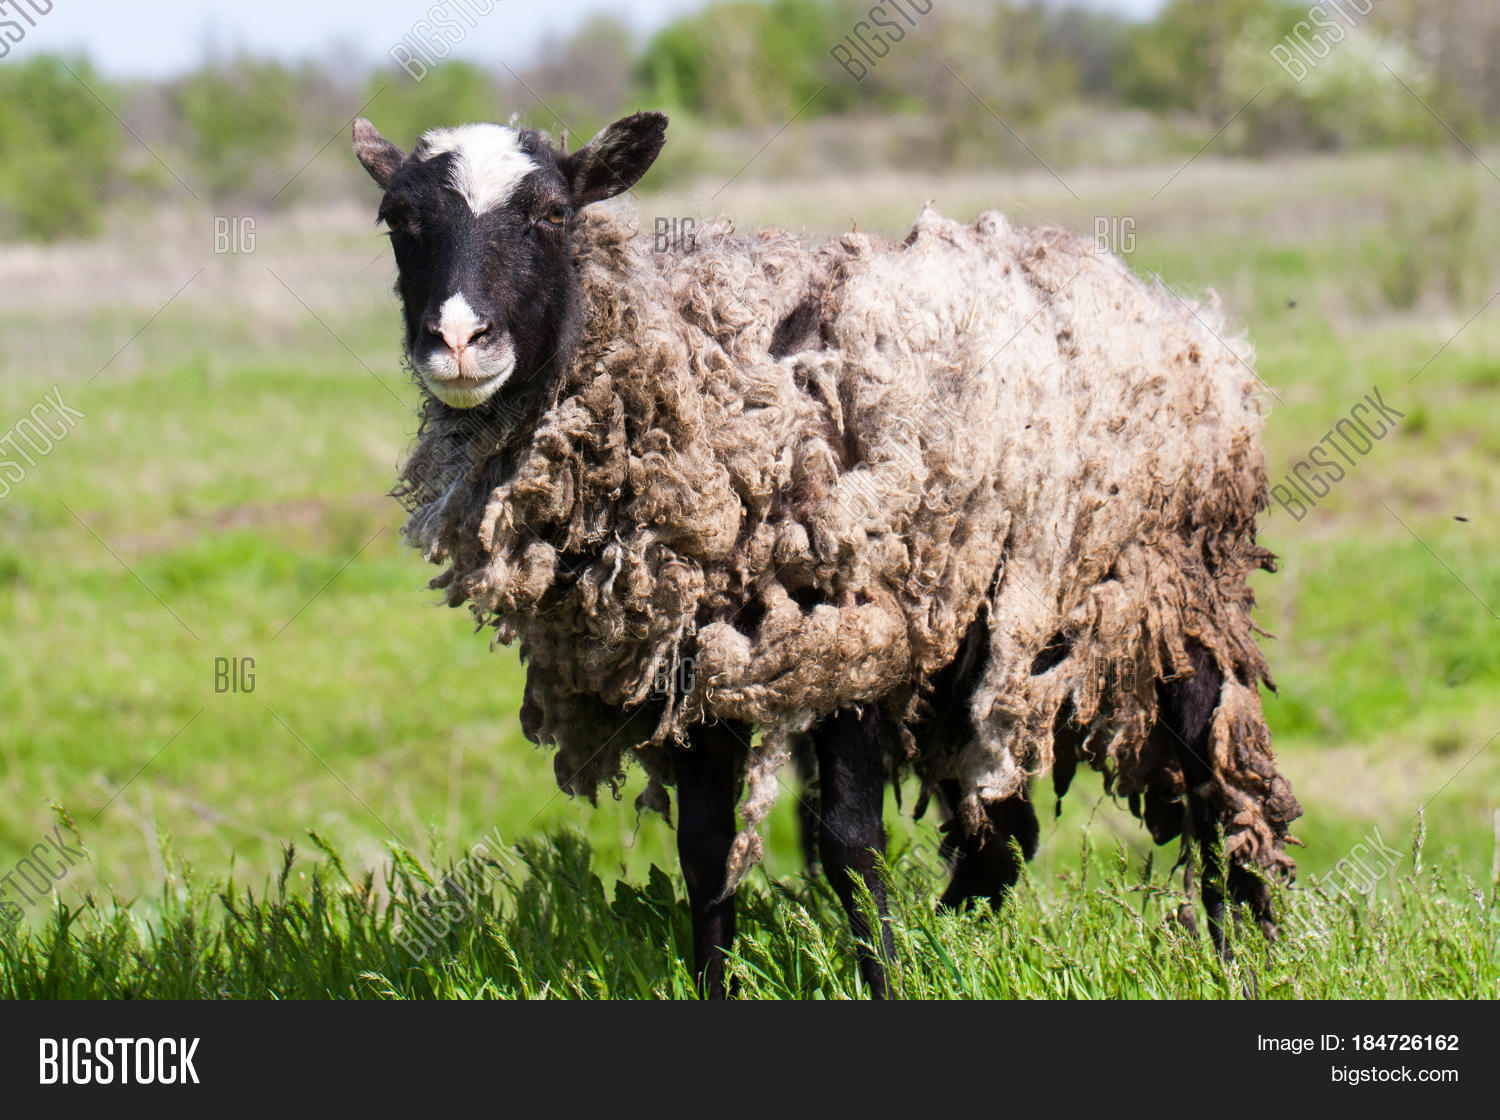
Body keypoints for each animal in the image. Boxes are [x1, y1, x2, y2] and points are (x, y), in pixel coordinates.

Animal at [353, 110, 1301, 998]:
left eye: (553, 212)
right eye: (398, 220)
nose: (459, 342)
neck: (707, 384)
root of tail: (1186, 316)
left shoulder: (860, 641)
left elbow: (849, 844)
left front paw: (883, 981)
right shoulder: (696, 667)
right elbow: (705, 850)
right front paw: (714, 986)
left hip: (1172, 590)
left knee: (1216, 776)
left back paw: (1242, 956)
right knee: (1007, 823)